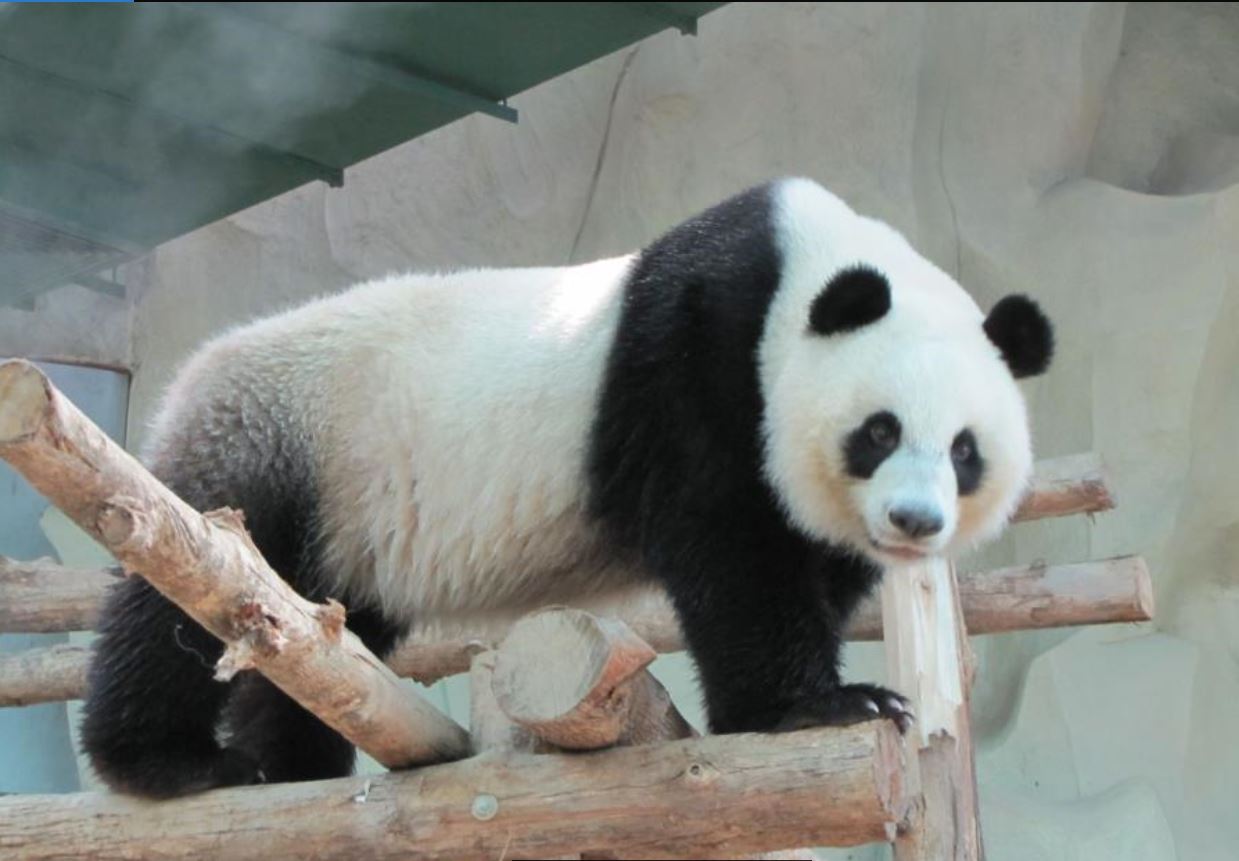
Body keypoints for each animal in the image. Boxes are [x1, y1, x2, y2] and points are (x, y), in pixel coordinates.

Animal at [81, 177, 1053, 798]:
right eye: (878, 430)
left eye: (964, 450)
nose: (913, 519)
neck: (800, 269)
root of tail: (191, 375)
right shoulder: (697, 353)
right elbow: (726, 543)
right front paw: (814, 706)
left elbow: (808, 559)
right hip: (272, 444)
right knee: (177, 608)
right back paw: (168, 762)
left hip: (343, 518)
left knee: (315, 633)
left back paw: (294, 765)